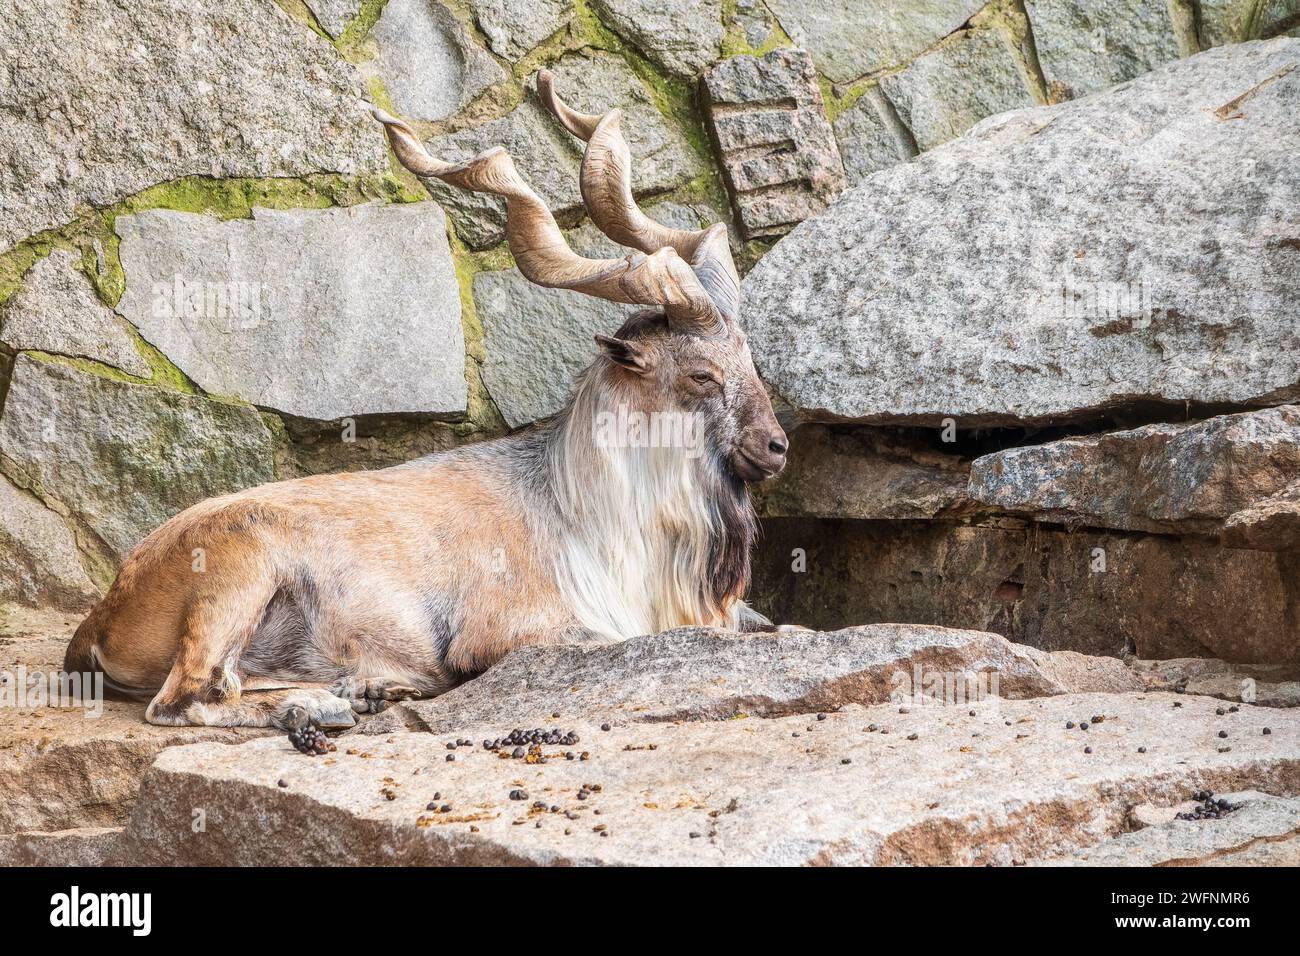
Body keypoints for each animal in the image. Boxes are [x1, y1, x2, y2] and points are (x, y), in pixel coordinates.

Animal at [62, 72, 790, 728]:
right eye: (701, 375)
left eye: (748, 357)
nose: (775, 446)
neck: (578, 507)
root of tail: (103, 616)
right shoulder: (518, 630)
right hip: (239, 573)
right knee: (187, 698)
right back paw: (330, 709)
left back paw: (369, 689)